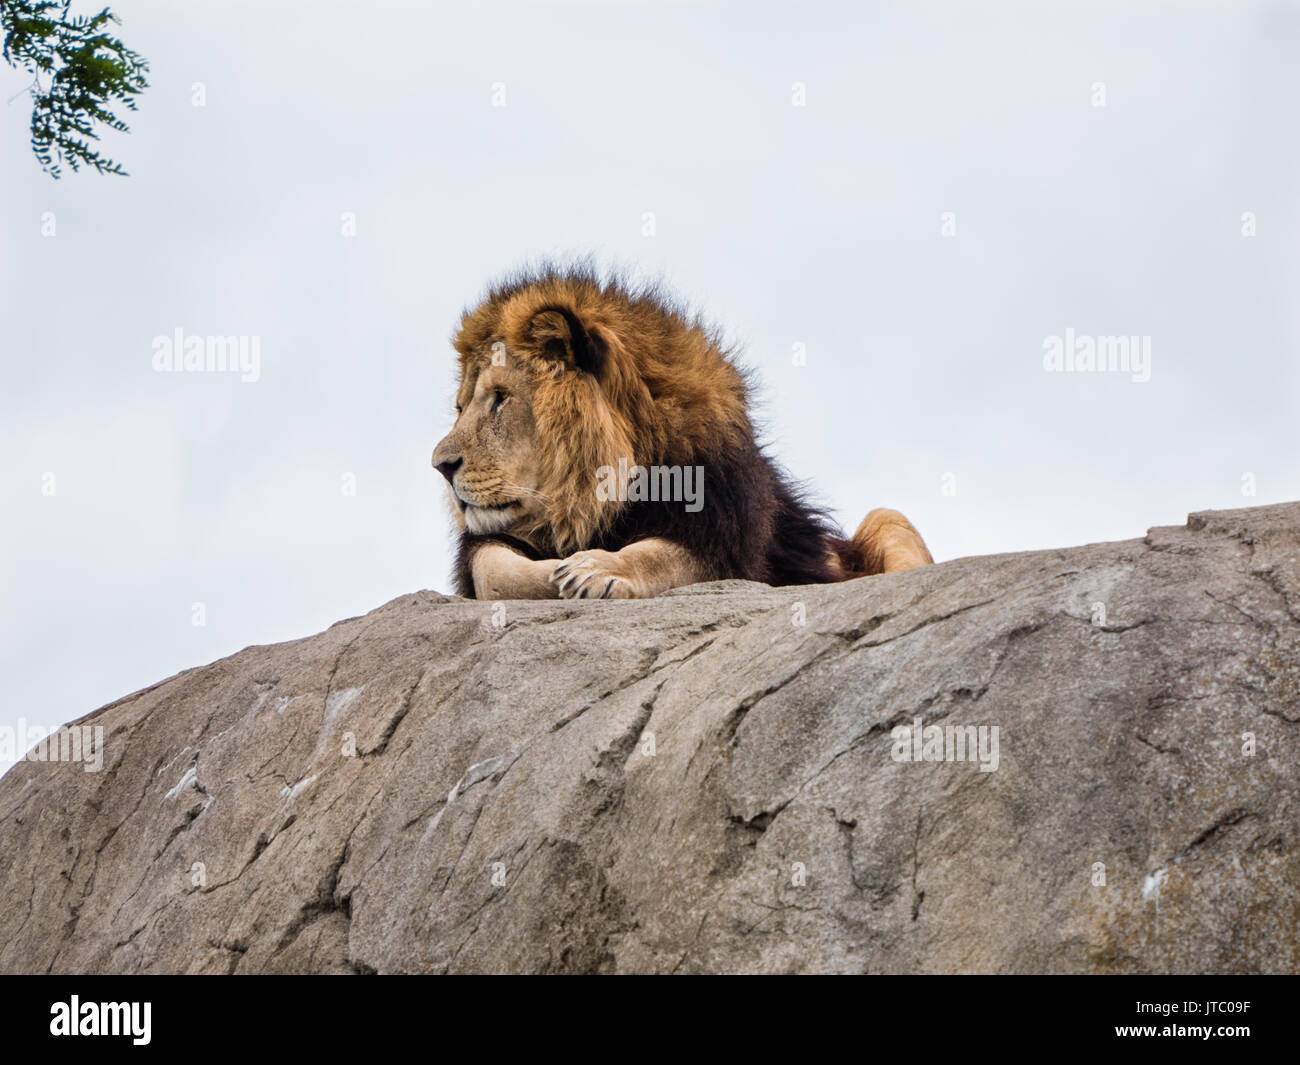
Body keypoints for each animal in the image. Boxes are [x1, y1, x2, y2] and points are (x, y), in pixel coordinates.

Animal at [432, 265, 933, 600]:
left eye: (500, 398)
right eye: (460, 406)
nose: (440, 466)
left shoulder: (728, 541)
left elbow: (659, 555)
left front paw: (597, 568)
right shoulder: (485, 548)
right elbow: (495, 571)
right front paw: (558, 569)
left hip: (887, 518)